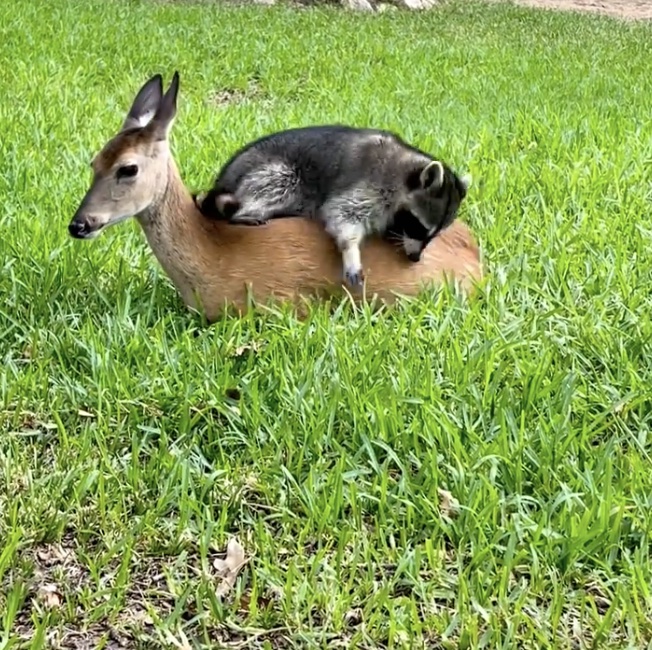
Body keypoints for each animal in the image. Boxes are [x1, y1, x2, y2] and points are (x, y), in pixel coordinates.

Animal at [197, 125, 471, 287]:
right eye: (418, 226)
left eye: (434, 234)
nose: (415, 258)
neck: (405, 168)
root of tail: (223, 180)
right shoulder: (367, 183)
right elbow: (341, 214)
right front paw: (350, 251)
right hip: (266, 170)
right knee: (280, 182)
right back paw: (245, 212)